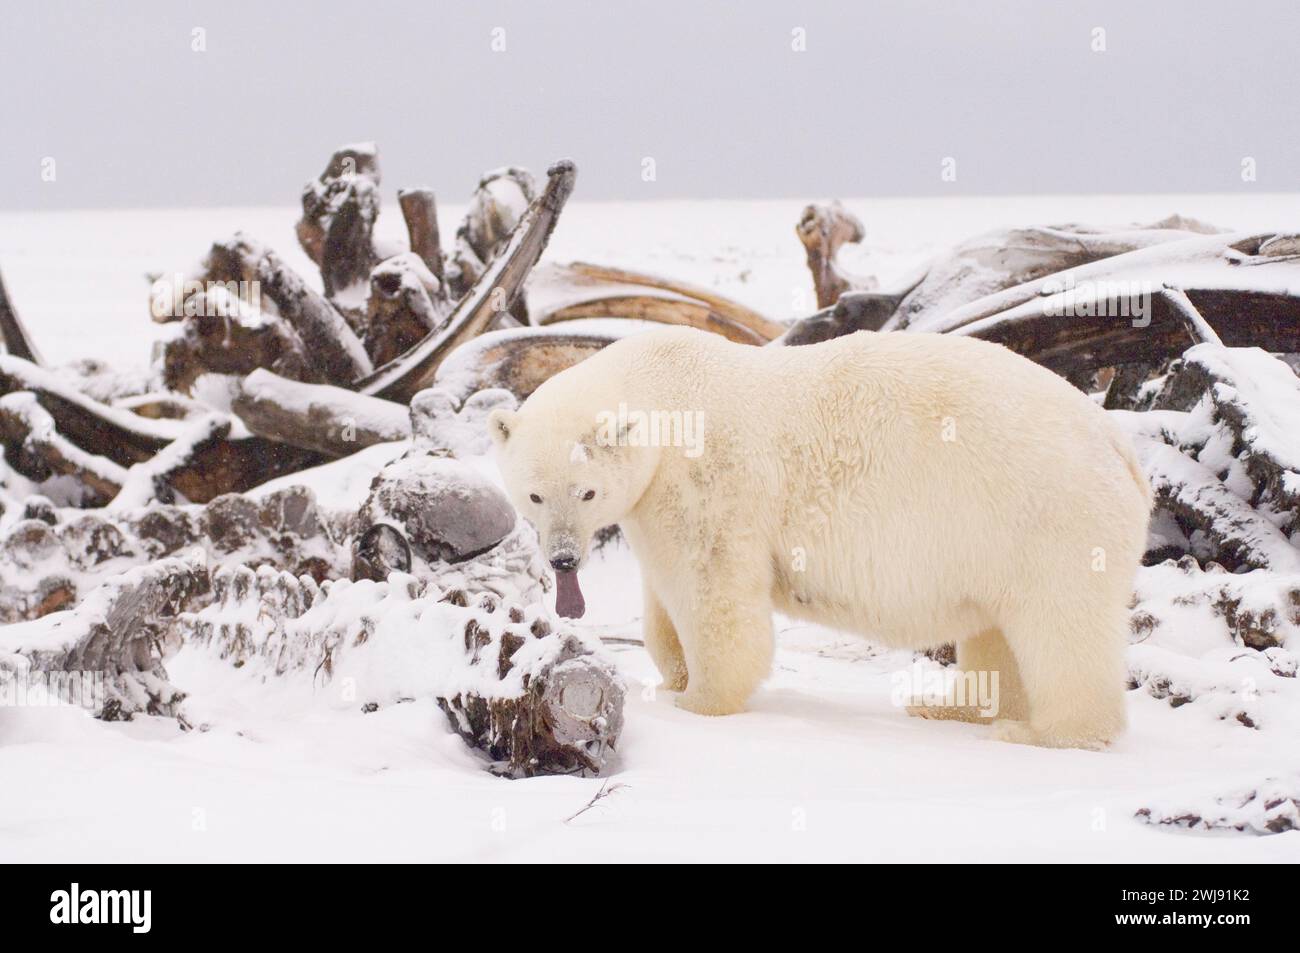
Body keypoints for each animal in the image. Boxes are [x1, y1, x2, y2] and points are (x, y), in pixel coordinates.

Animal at [488, 326, 1152, 749]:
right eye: (535, 494)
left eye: (586, 492)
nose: (564, 558)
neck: (663, 385)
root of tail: (1118, 444)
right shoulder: (654, 499)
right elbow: (662, 597)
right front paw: (672, 674)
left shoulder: (705, 480)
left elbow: (712, 591)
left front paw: (698, 700)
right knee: (997, 629)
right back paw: (951, 705)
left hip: (1047, 514)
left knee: (1059, 625)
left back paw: (1044, 732)